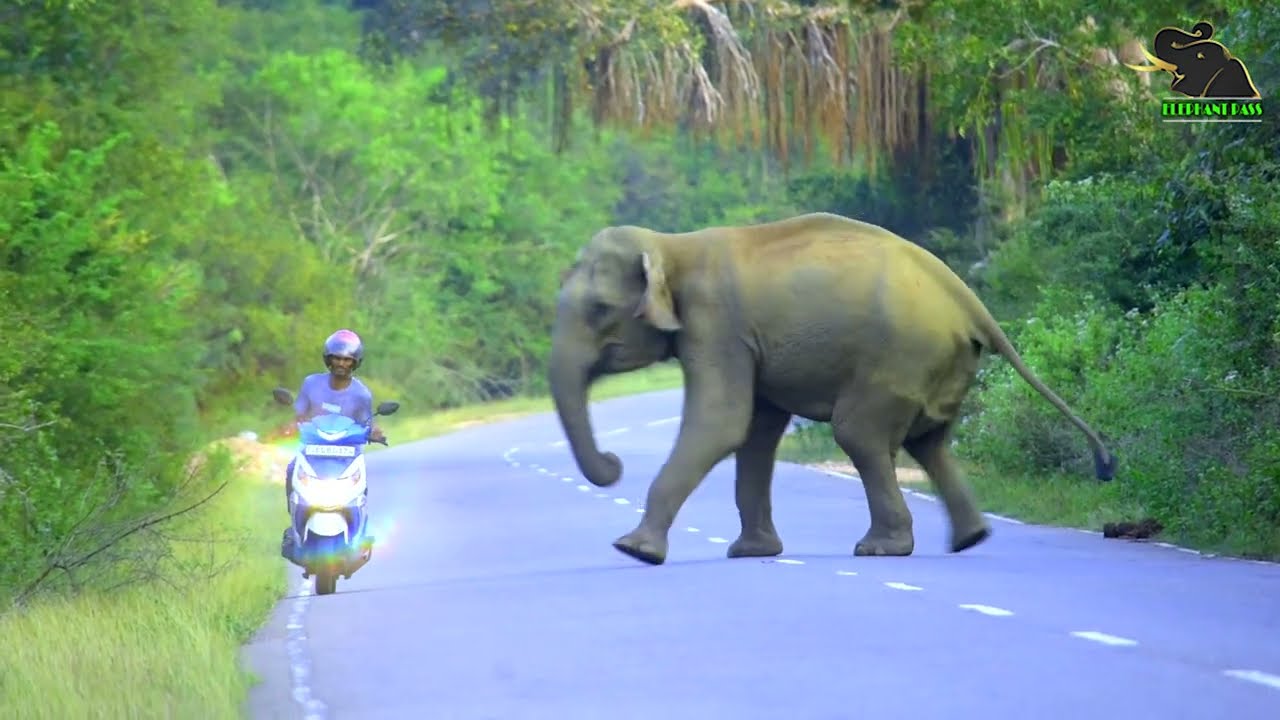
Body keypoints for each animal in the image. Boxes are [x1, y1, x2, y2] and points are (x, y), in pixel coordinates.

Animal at [548, 212, 1117, 566]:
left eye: (599, 309)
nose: (613, 463)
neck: (671, 245)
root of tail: (969, 300)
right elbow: (755, 431)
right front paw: (752, 553)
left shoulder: (717, 326)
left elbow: (722, 422)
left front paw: (632, 550)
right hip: (940, 361)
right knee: (927, 443)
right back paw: (969, 540)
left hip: (901, 356)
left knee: (859, 433)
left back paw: (881, 550)